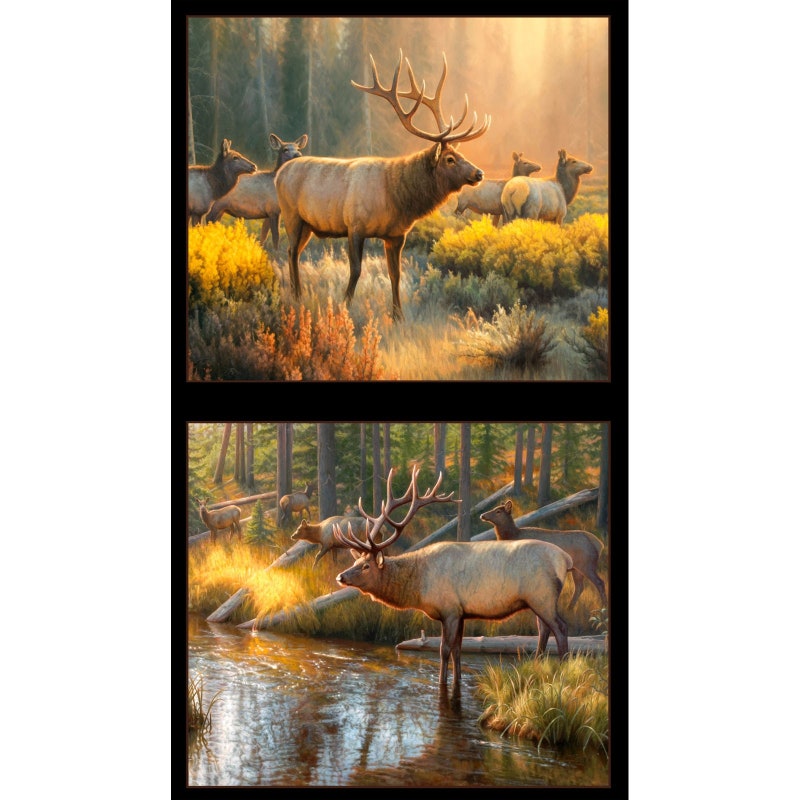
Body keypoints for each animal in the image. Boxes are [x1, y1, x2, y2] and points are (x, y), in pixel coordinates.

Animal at [275, 50, 491, 322]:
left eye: (460, 155)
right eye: (450, 159)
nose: (479, 173)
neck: (397, 198)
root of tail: (278, 174)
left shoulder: (397, 235)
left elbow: (395, 275)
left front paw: (398, 316)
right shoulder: (355, 226)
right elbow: (356, 270)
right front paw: (344, 306)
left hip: (308, 225)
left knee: (294, 252)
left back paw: (298, 293)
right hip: (291, 215)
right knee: (291, 252)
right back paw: (297, 295)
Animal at [333, 466, 573, 688]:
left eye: (366, 566)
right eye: (354, 562)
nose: (340, 577)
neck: (419, 585)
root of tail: (565, 559)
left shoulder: (449, 610)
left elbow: (444, 650)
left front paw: (442, 683)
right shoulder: (461, 613)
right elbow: (458, 650)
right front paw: (457, 681)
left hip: (542, 596)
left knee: (560, 628)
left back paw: (563, 670)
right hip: (539, 600)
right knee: (544, 631)